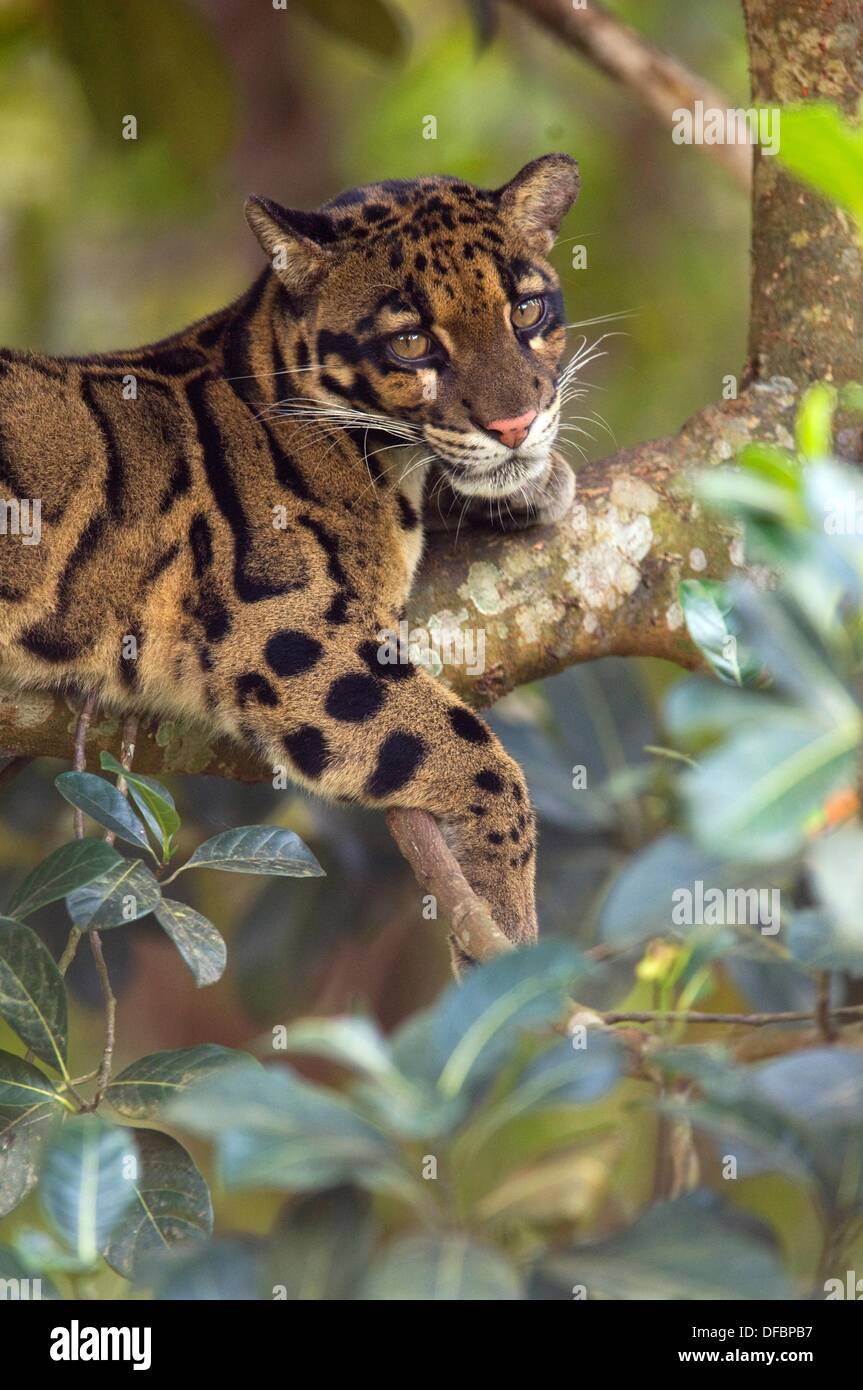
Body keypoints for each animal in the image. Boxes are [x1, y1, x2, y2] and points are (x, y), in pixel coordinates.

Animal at [0, 153, 582, 959]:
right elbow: (481, 760)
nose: (517, 425)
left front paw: (532, 481)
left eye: (525, 311)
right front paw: (507, 928)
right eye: (410, 343)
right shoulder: (282, 627)